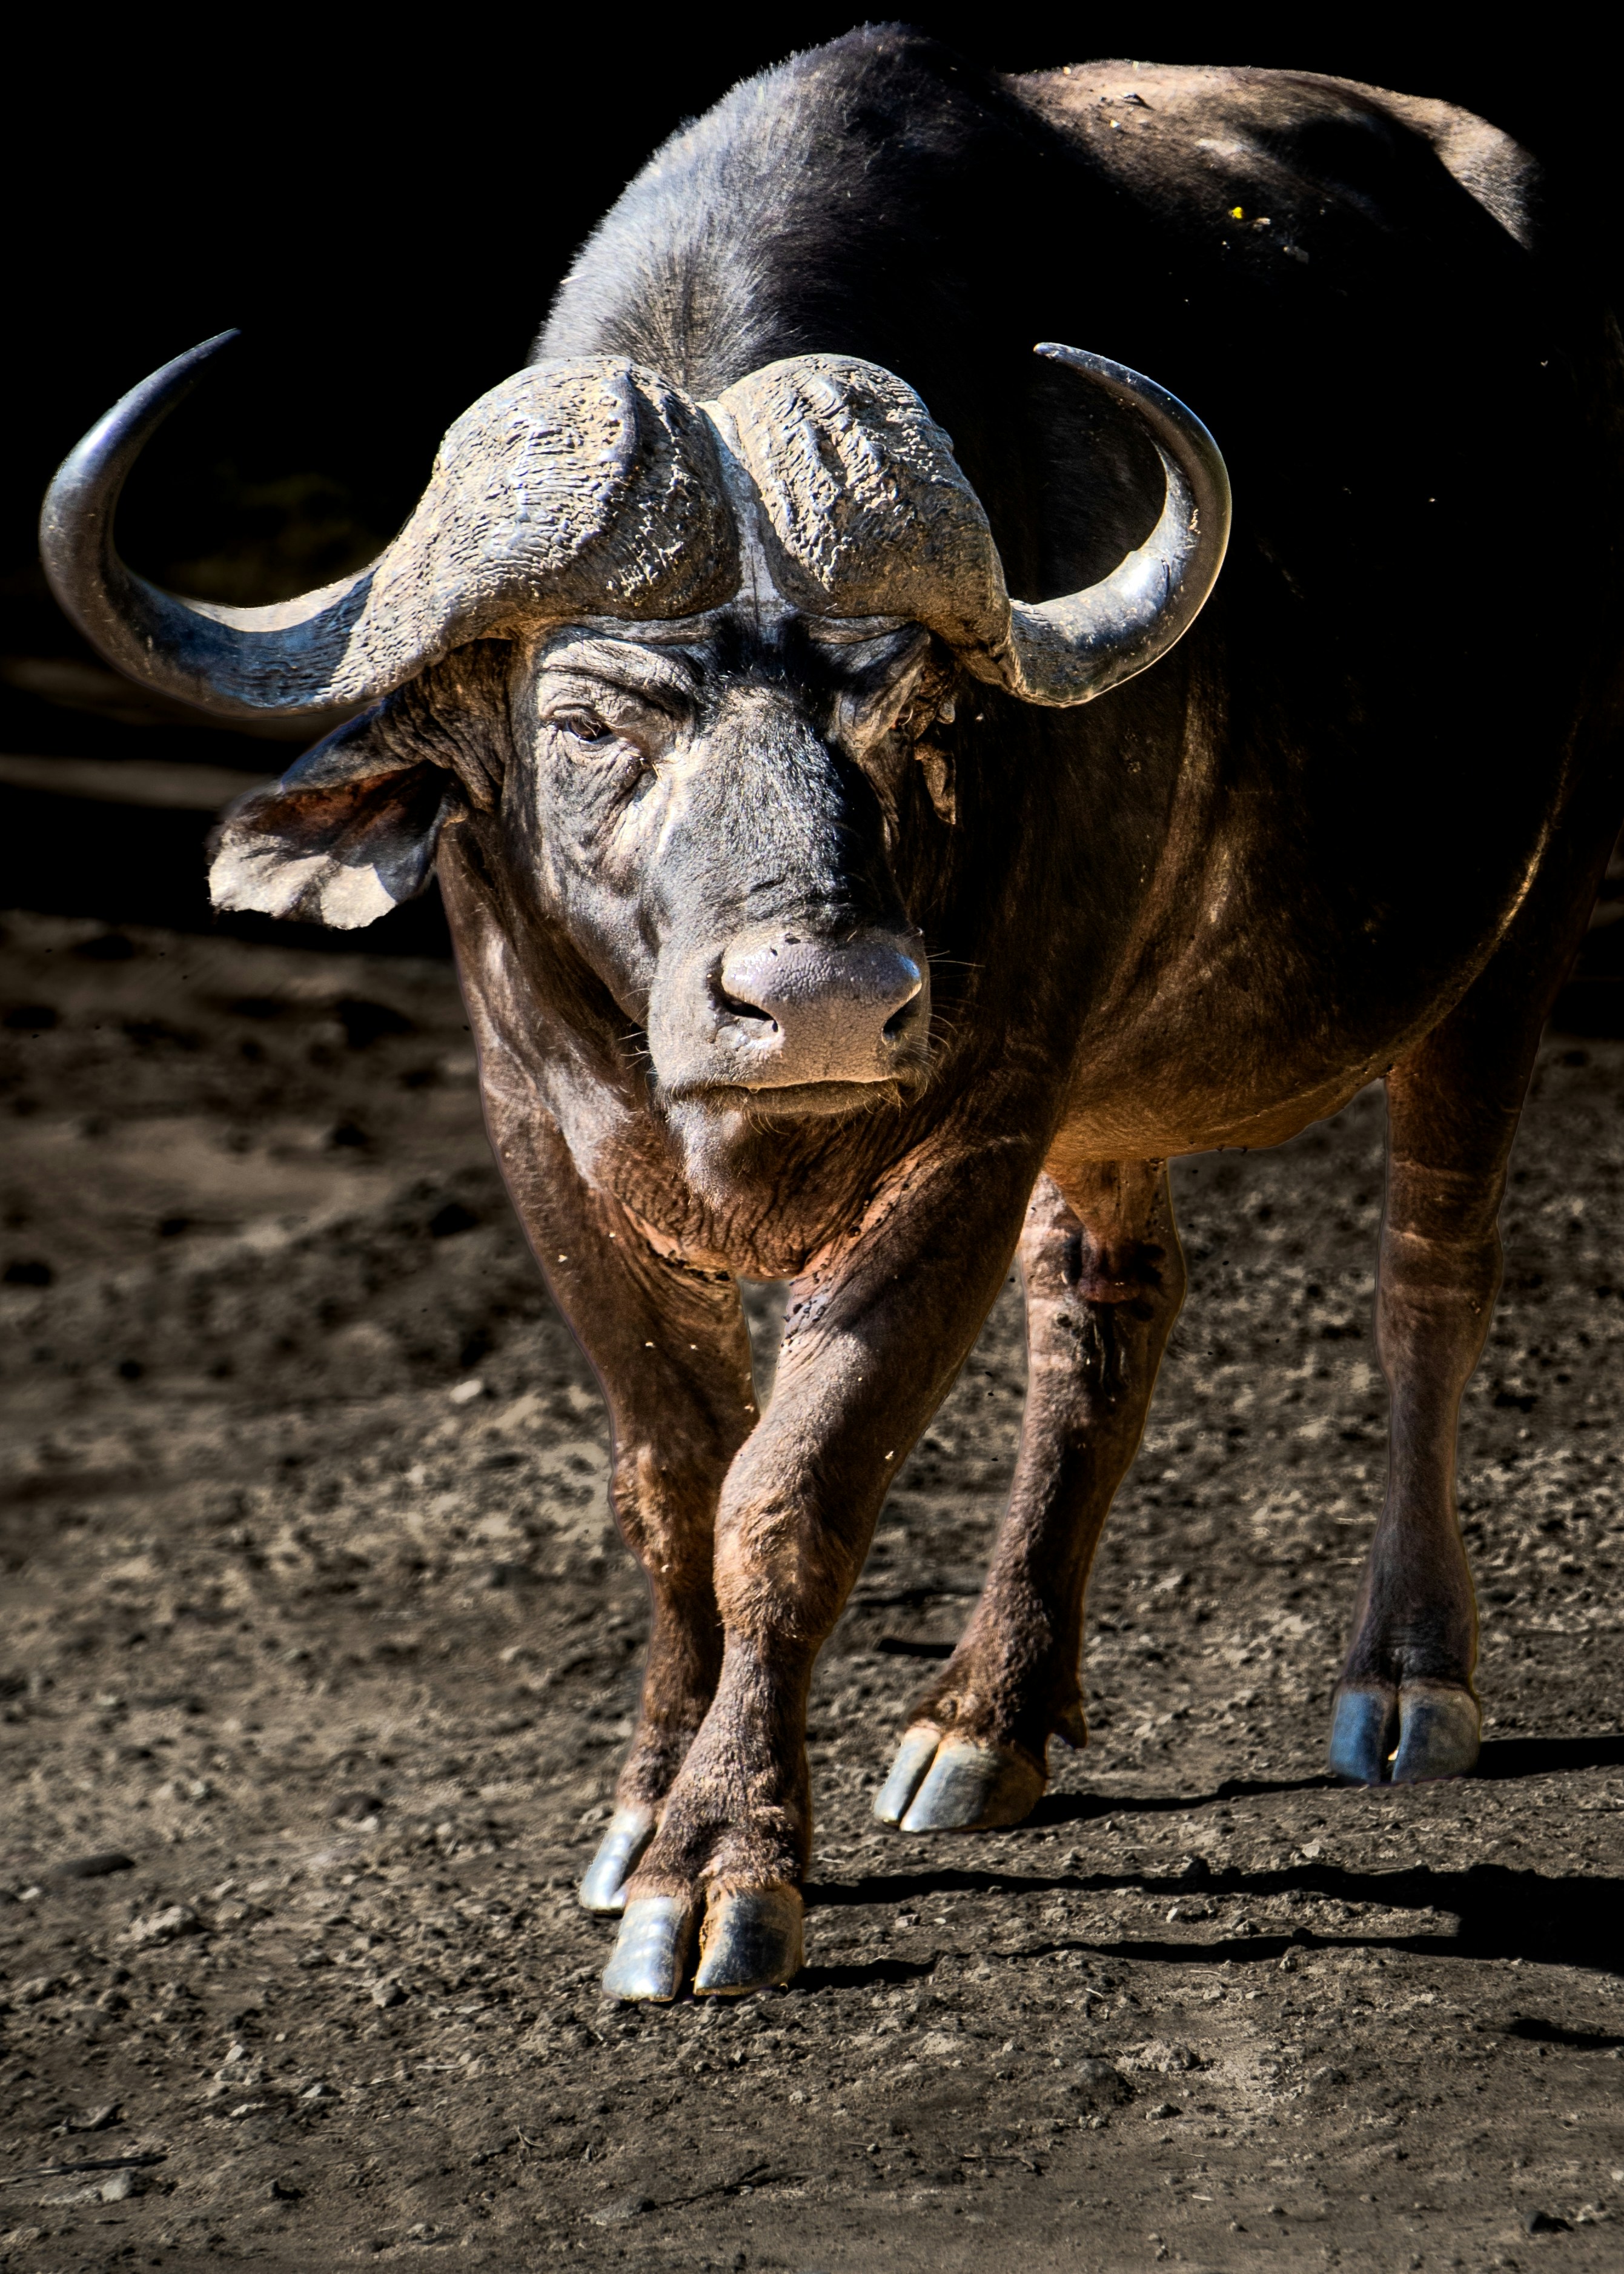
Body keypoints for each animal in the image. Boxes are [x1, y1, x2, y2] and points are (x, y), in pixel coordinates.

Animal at [41, 29, 1624, 2003]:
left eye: (918, 718)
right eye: (588, 720)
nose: (819, 1001)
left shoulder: (973, 1123)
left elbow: (790, 1495)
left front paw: (718, 1869)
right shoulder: (536, 1127)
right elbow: (670, 1483)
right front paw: (645, 1804)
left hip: (1525, 916)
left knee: (1430, 1272)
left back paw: (1404, 1678)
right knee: (1104, 1306)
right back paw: (987, 1719)